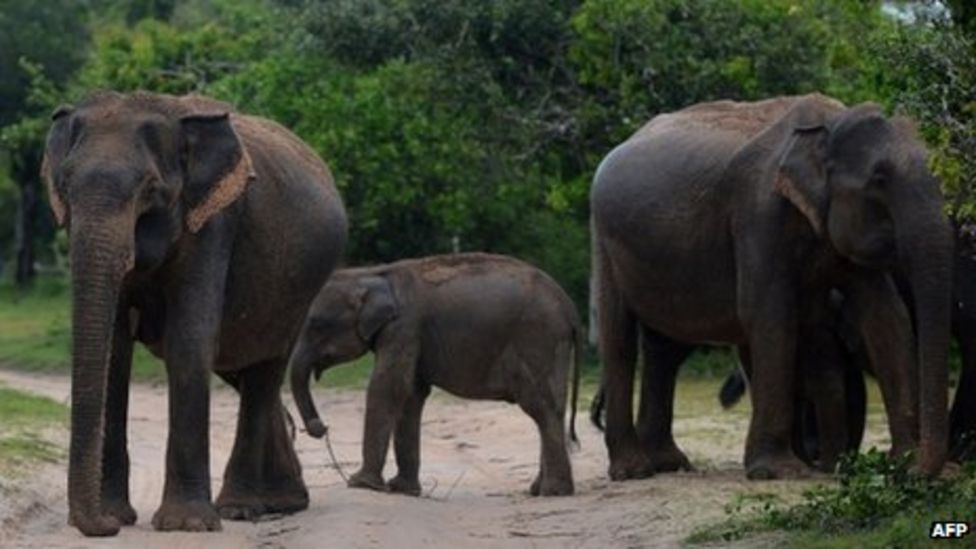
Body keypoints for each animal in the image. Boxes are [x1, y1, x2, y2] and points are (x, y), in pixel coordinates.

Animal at [41, 91, 347, 536]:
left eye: (150, 189)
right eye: (64, 186)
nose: (104, 526)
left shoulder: (214, 222)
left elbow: (189, 341)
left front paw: (185, 525)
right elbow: (115, 353)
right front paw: (118, 515)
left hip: (300, 290)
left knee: (266, 370)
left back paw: (241, 507)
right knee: (247, 372)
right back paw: (282, 502)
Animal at [289, 253, 581, 496]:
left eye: (316, 324)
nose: (320, 427)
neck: (372, 273)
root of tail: (570, 309)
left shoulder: (404, 328)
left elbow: (388, 386)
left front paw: (361, 484)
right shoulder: (409, 334)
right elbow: (411, 395)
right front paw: (402, 489)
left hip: (537, 338)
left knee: (541, 408)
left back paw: (553, 492)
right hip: (551, 345)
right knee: (552, 409)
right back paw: (539, 489)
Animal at [590, 94, 953, 481]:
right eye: (879, 179)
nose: (918, 472)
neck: (830, 124)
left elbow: (885, 315)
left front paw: (902, 463)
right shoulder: (757, 213)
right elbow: (768, 314)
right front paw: (779, 471)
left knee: (663, 348)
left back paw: (669, 465)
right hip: (604, 240)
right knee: (620, 339)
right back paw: (633, 471)